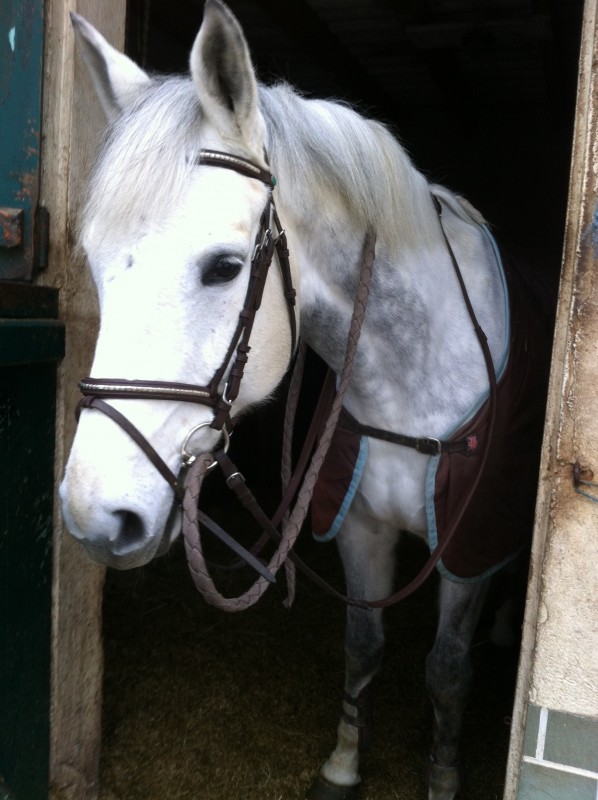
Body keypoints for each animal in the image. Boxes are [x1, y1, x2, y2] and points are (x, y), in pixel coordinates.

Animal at [60, 2, 550, 797]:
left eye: (224, 267)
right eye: (96, 266)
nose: (94, 517)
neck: (405, 381)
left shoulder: (463, 549)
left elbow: (447, 670)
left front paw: (443, 776)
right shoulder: (358, 528)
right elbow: (363, 645)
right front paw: (344, 763)